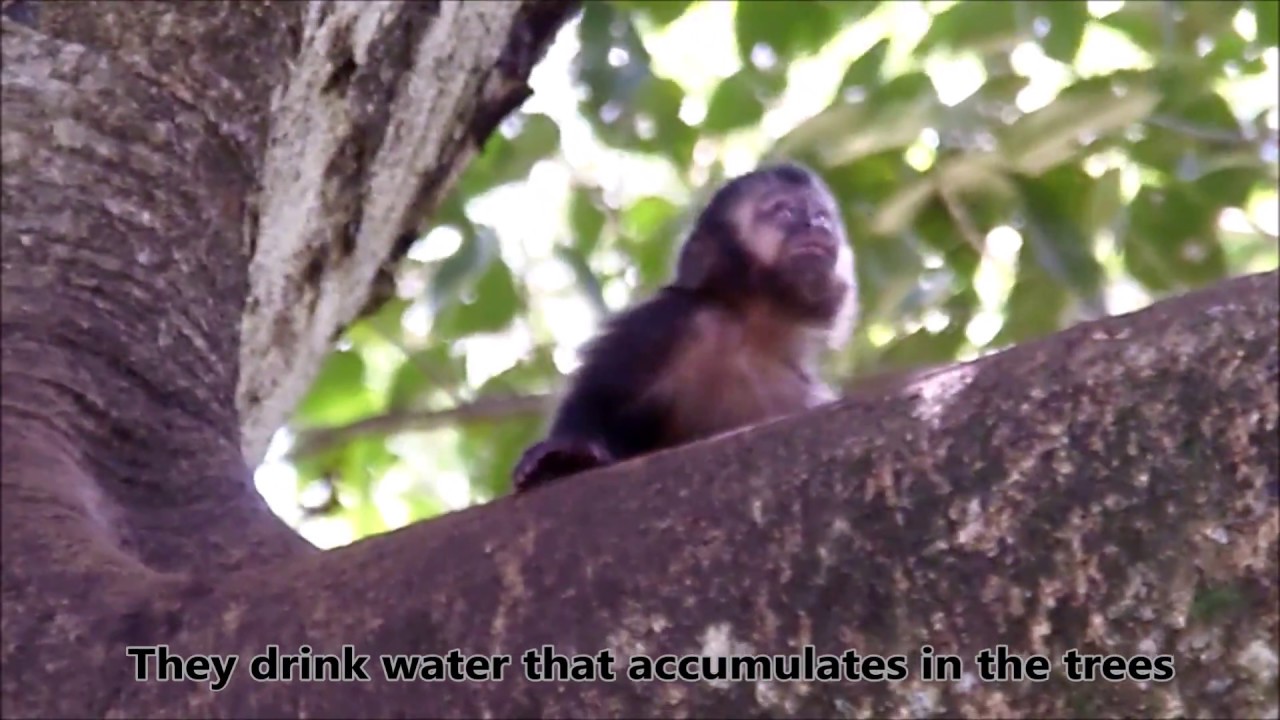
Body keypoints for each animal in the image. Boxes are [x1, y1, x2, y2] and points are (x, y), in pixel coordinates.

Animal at [512, 162, 857, 493]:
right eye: (785, 211)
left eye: (821, 215)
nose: (817, 226)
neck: (751, 329)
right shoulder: (673, 320)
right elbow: (599, 395)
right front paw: (566, 457)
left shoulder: (801, 390)